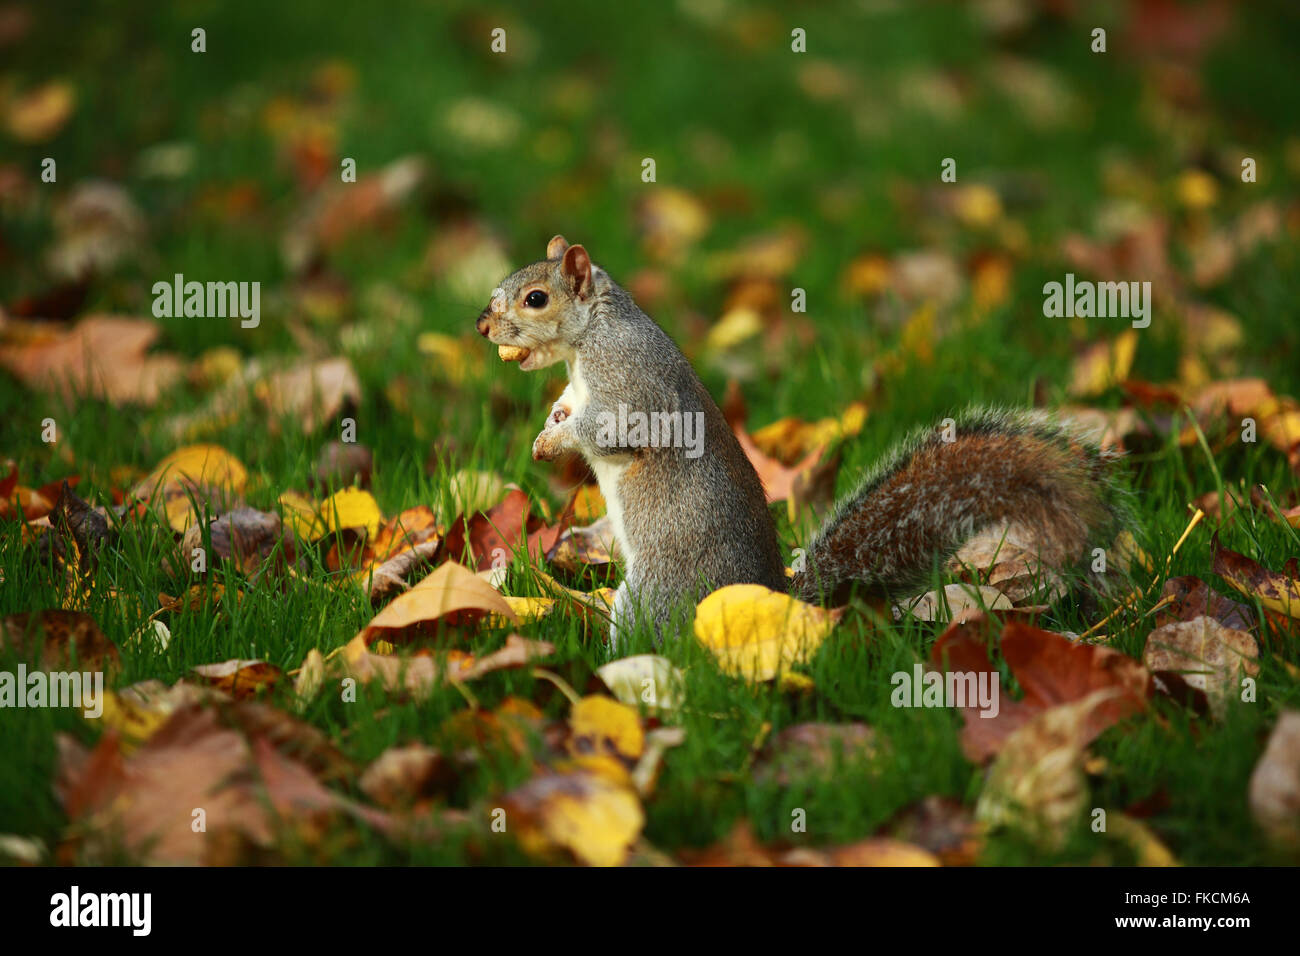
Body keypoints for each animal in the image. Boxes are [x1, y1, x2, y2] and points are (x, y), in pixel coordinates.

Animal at [476, 236, 1130, 642]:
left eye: (536, 298)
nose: (482, 326)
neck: (591, 338)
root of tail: (771, 599)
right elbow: (567, 406)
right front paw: (550, 424)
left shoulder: (632, 385)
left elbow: (610, 429)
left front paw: (556, 443)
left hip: (655, 597)